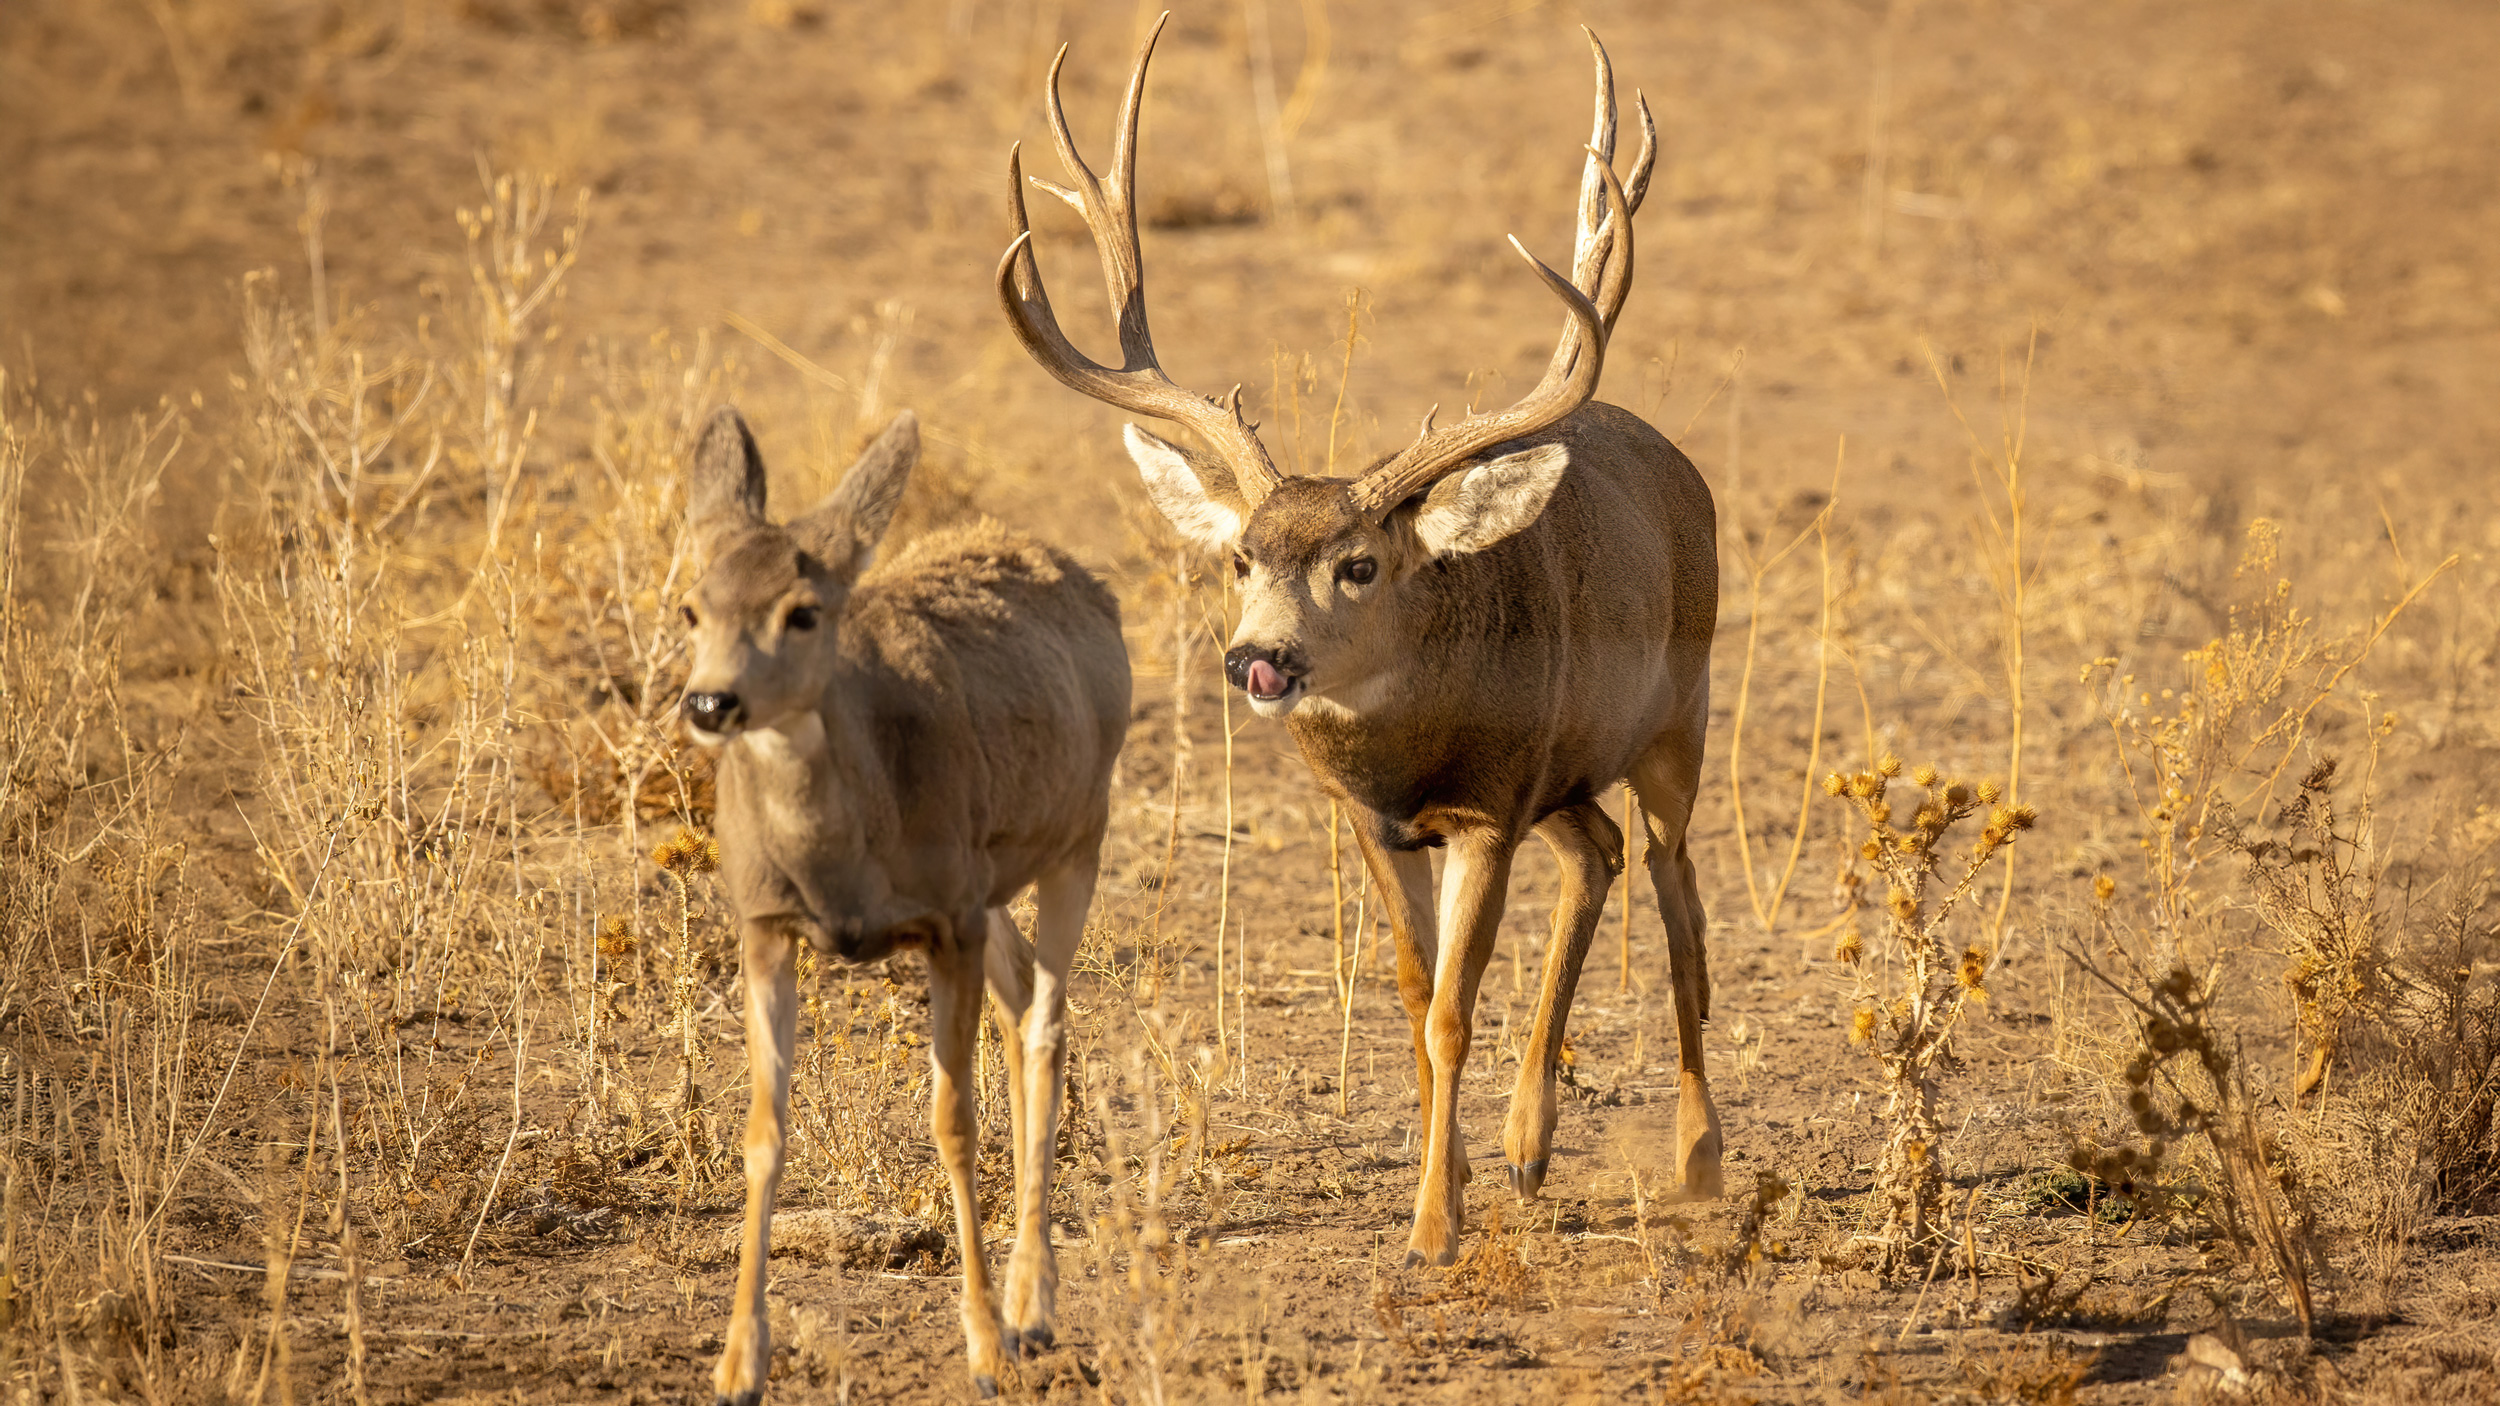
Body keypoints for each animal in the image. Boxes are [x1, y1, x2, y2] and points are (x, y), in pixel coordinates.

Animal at [676, 406, 1130, 1403]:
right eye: (692, 607)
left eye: (803, 610)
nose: (711, 702)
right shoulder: (764, 927)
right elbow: (763, 1131)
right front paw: (737, 1363)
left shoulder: (945, 920)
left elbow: (953, 1123)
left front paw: (986, 1347)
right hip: (992, 886)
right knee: (1020, 1001)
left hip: (1078, 838)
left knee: (1047, 1022)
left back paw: (1033, 1305)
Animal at [997, 18, 1720, 1268]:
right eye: (1239, 557)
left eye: (1360, 564)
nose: (1258, 658)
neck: (1412, 747)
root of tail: (1681, 467)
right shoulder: (1380, 819)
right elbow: (1410, 993)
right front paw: (1461, 1175)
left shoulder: (1484, 809)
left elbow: (1452, 1013)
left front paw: (1432, 1226)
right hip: (1567, 767)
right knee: (1599, 853)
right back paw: (1530, 1144)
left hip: (1678, 718)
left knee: (1679, 903)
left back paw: (1700, 1157)